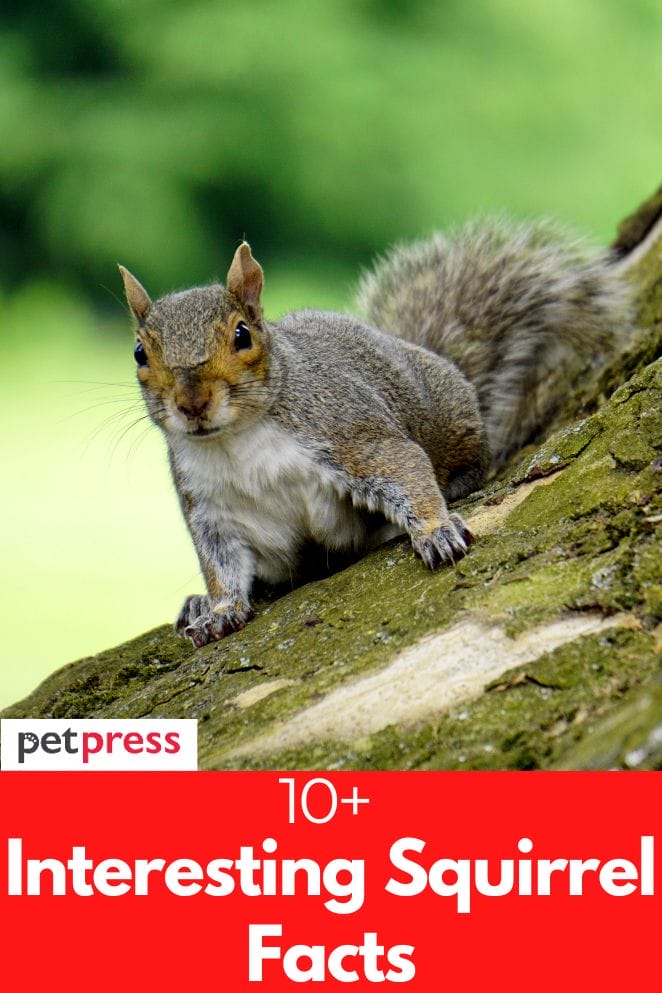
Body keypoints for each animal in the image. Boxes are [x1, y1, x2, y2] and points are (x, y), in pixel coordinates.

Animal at [119, 217, 635, 648]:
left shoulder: (348, 432)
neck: (236, 441)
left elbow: (403, 467)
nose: (191, 404)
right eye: (140, 353)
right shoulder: (212, 508)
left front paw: (435, 531)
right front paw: (220, 609)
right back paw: (196, 604)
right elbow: (222, 565)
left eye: (243, 334)